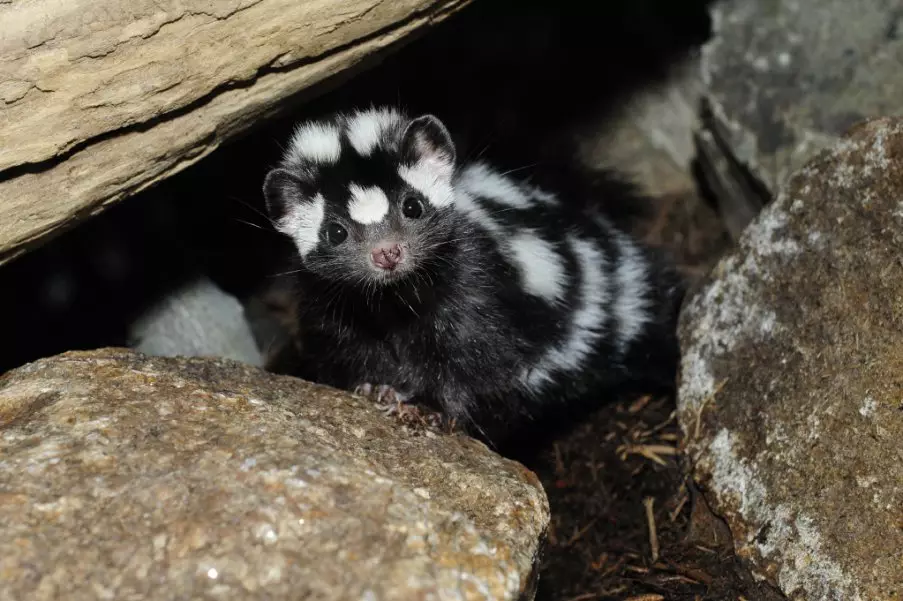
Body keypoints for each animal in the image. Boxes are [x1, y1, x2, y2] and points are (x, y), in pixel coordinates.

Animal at [262, 106, 684, 440]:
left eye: (412, 206)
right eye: (336, 232)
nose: (387, 254)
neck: (396, 299)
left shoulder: (475, 290)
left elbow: (476, 361)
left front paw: (434, 412)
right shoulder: (338, 309)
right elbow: (352, 352)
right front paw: (376, 389)